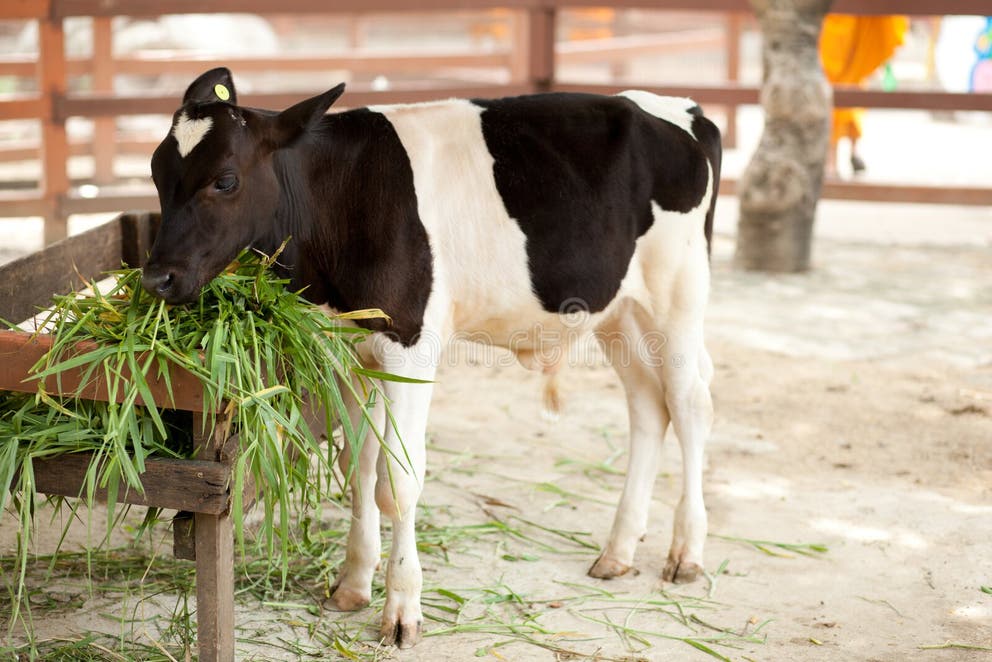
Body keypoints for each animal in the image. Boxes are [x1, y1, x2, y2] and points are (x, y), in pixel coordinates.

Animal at [143, 67, 721, 648]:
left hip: (678, 296)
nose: (156, 278)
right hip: (620, 311)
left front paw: (402, 609)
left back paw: (687, 553)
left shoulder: (410, 347)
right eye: (156, 173)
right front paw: (353, 583)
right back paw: (618, 551)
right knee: (648, 406)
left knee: (690, 406)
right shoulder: (348, 345)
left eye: (225, 180)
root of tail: (681, 107)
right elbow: (358, 469)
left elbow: (398, 482)